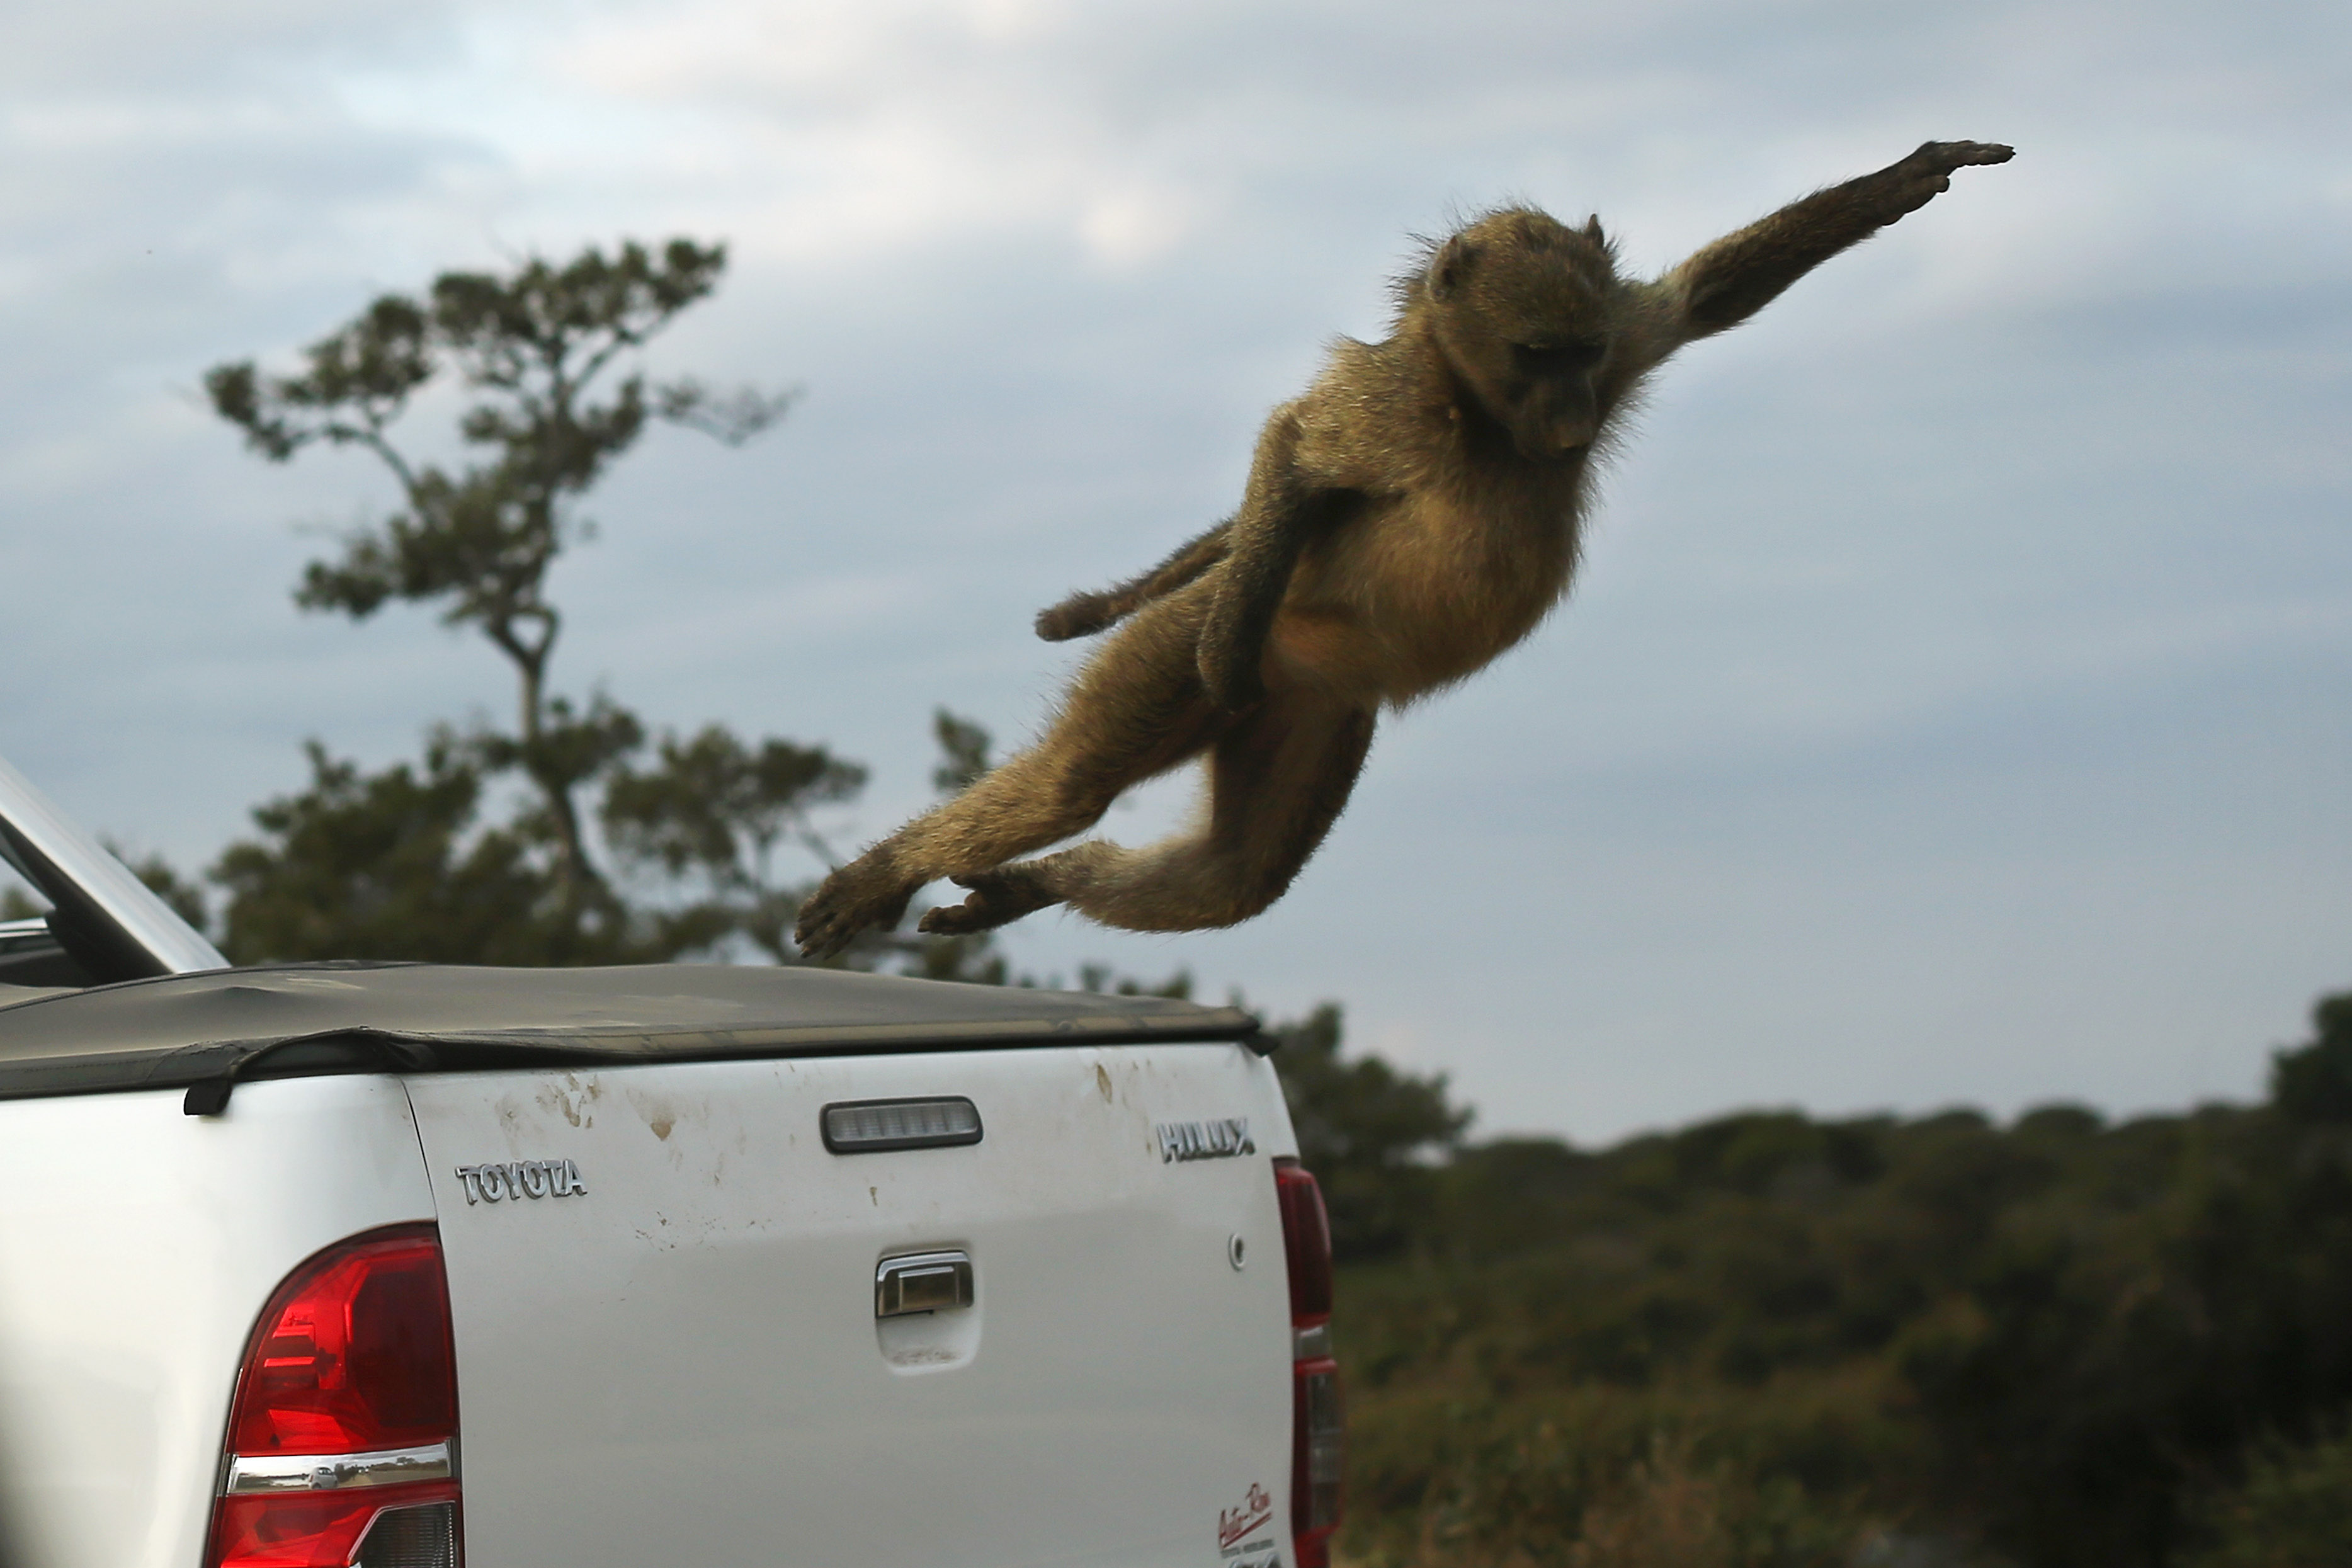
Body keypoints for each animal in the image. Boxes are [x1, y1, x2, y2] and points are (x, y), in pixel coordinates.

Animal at [794, 140, 2014, 959]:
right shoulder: (1389, 414)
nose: (1572, 421)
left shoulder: (1623, 336)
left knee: (1230, 879)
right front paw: (1201, 648)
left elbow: (1700, 296)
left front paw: (1916, 173)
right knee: (1077, 778)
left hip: (1315, 716)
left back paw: (1037, 886)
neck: (1482, 420)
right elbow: (1292, 445)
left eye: (1579, 355)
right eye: (1536, 355)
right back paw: (891, 871)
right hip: (1199, 653)